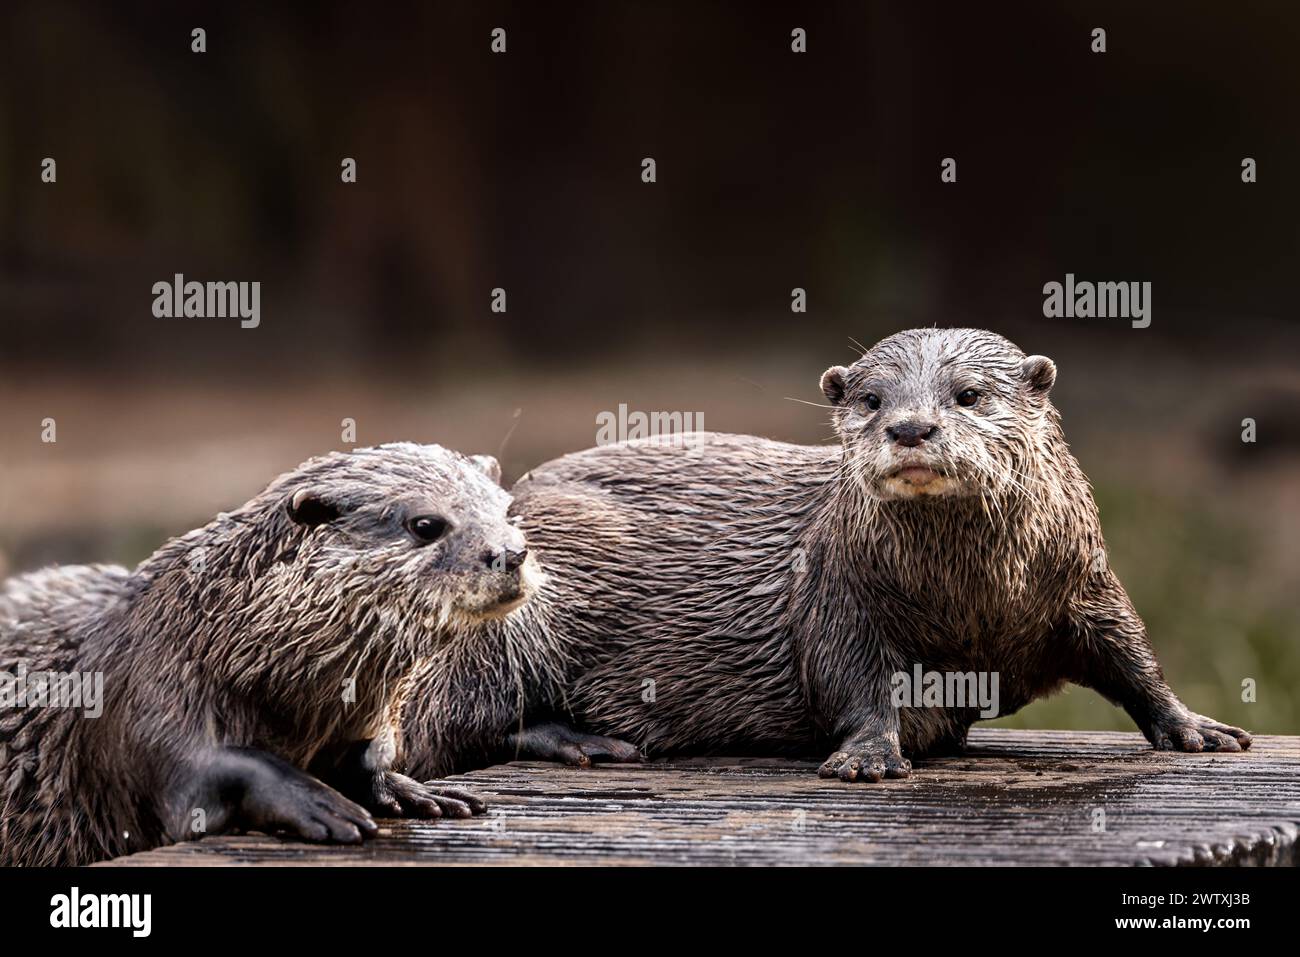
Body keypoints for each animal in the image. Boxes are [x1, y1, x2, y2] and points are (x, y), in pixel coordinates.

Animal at [0, 443, 531, 866]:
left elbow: (364, 758)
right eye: (425, 524)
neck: (218, 635)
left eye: (509, 512)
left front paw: (414, 789)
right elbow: (203, 771)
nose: (510, 553)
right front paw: (316, 802)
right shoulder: (148, 693)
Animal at [404, 328, 1250, 781]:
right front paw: (870, 753)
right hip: (513, 616)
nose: (910, 426)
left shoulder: (1083, 584)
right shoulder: (838, 590)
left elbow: (1131, 654)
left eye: (968, 394)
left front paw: (1196, 727)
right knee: (449, 720)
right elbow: (851, 674)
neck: (975, 599)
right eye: (872, 400)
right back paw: (588, 742)